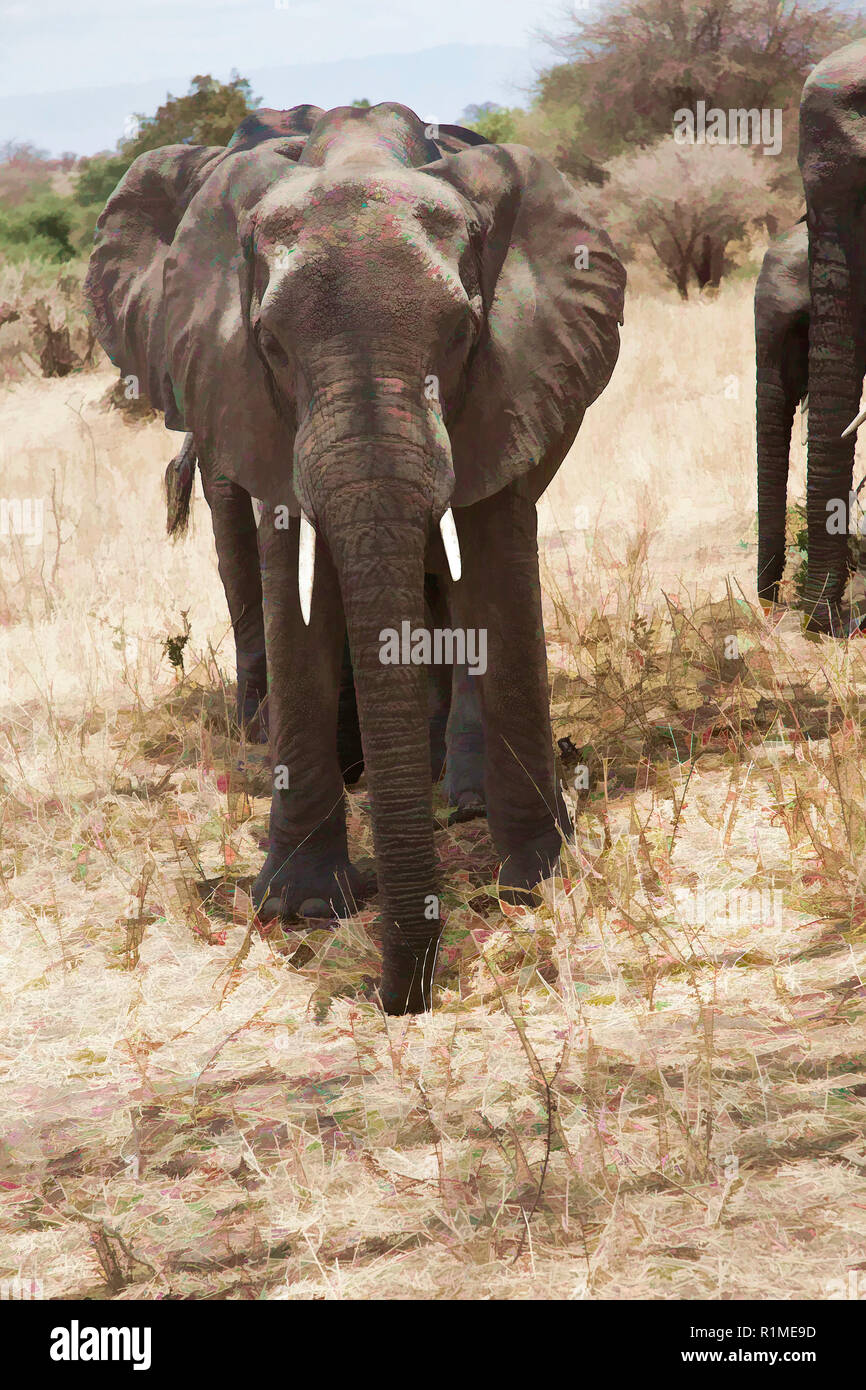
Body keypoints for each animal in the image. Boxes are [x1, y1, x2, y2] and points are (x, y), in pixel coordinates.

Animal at [84, 101, 626, 1013]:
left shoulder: (515, 376)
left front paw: (537, 879)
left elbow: (496, 559)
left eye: (463, 333)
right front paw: (303, 905)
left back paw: (464, 795)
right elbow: (288, 574)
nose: (397, 997)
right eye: (269, 342)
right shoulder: (241, 396)